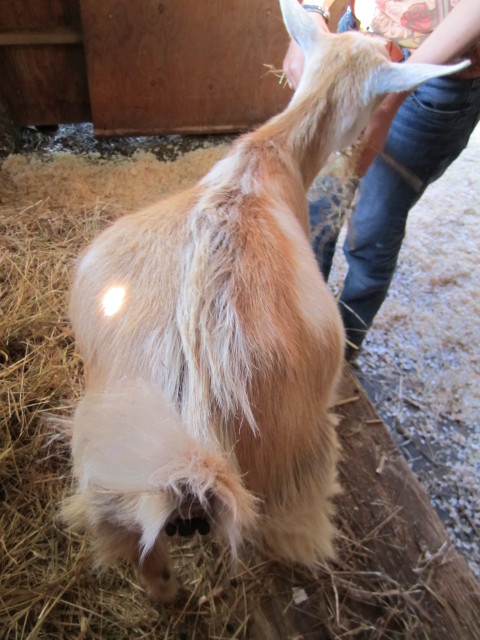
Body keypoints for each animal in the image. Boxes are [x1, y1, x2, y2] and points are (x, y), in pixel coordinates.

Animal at [63, 0, 469, 602]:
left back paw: (171, 596)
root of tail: (196, 445)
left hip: (111, 471)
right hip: (296, 476)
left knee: (145, 561)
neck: (270, 152)